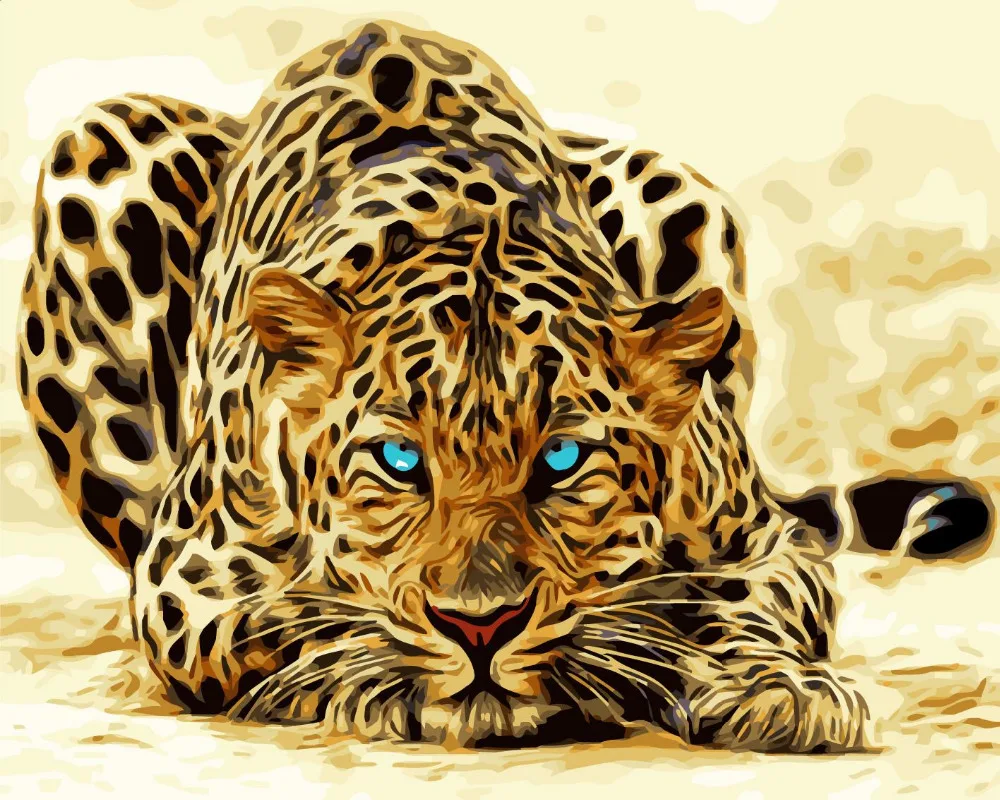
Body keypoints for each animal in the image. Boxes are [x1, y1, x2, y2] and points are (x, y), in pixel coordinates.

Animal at [16, 19, 867, 752]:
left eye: (562, 461)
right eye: (399, 462)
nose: (481, 626)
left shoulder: (764, 540)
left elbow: (757, 604)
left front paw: (782, 689)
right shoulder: (186, 580)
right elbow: (297, 619)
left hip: (674, 185)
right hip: (102, 147)